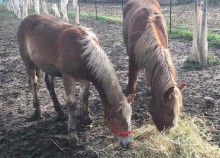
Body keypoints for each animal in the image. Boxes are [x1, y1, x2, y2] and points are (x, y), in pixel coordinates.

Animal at [16, 14, 132, 149]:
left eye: (130, 119)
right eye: (119, 121)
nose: (128, 144)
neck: (82, 51)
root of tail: (26, 19)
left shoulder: (86, 79)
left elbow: (85, 95)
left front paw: (87, 117)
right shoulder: (68, 78)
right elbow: (71, 104)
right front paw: (72, 135)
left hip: (49, 67)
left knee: (49, 84)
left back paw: (59, 112)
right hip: (28, 62)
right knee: (33, 83)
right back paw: (37, 110)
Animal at [123, 0, 185, 131]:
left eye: (178, 111)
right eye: (169, 111)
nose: (167, 130)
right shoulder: (132, 61)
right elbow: (132, 79)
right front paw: (129, 95)